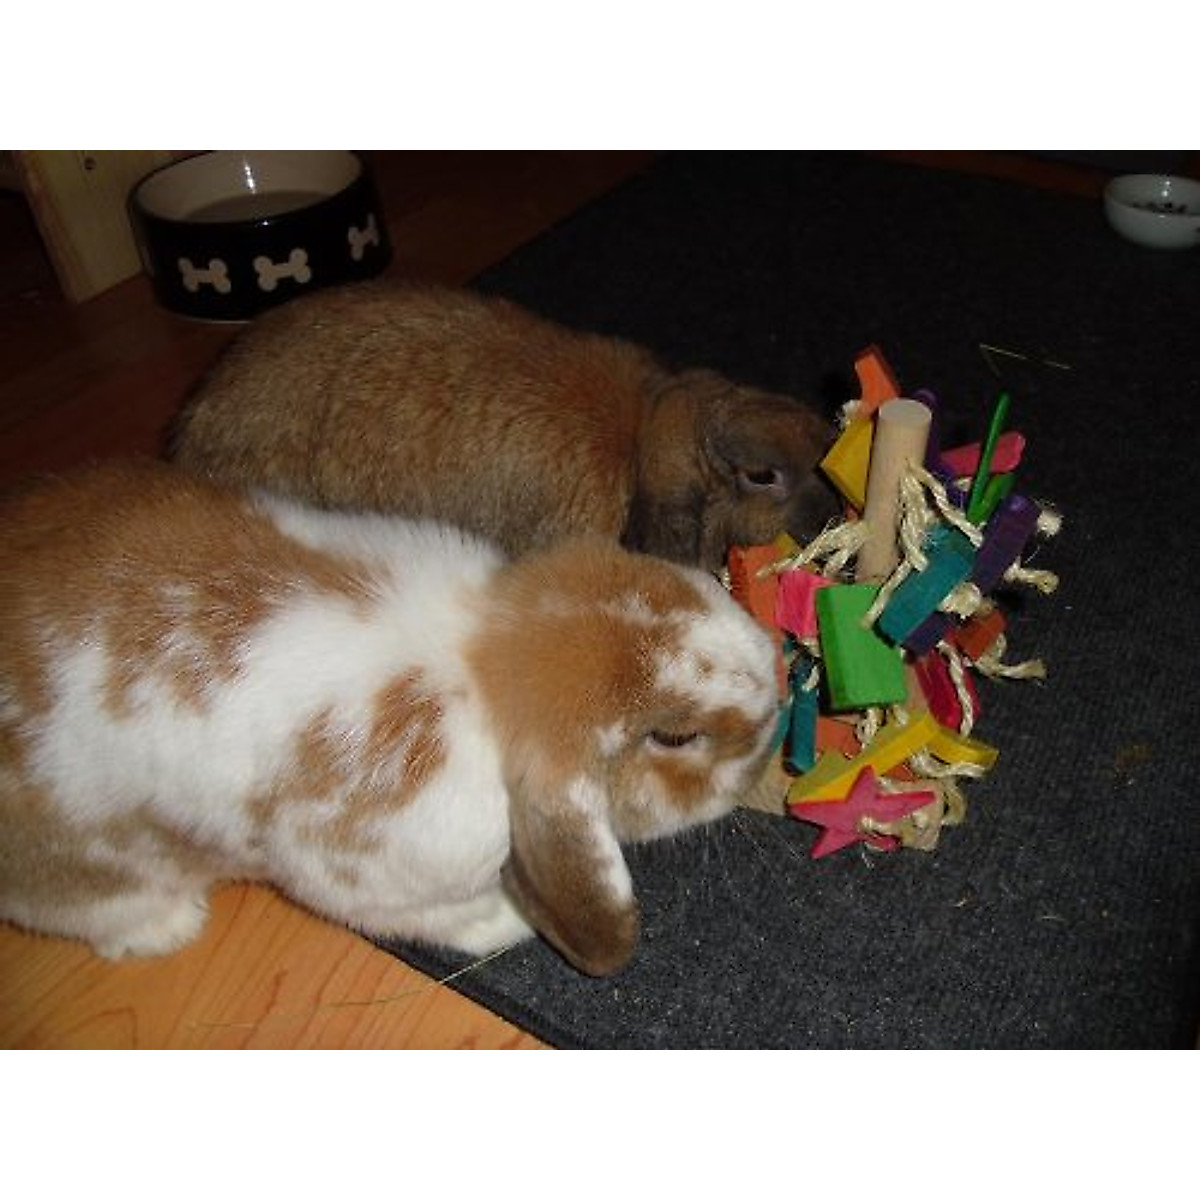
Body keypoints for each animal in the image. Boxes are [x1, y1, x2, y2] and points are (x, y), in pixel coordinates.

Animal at [0, 459, 781, 976]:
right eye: (674, 737)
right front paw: (509, 922)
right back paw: (166, 928)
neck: (489, 656)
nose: (776, 704)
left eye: (698, 584)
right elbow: (444, 919)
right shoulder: (359, 873)